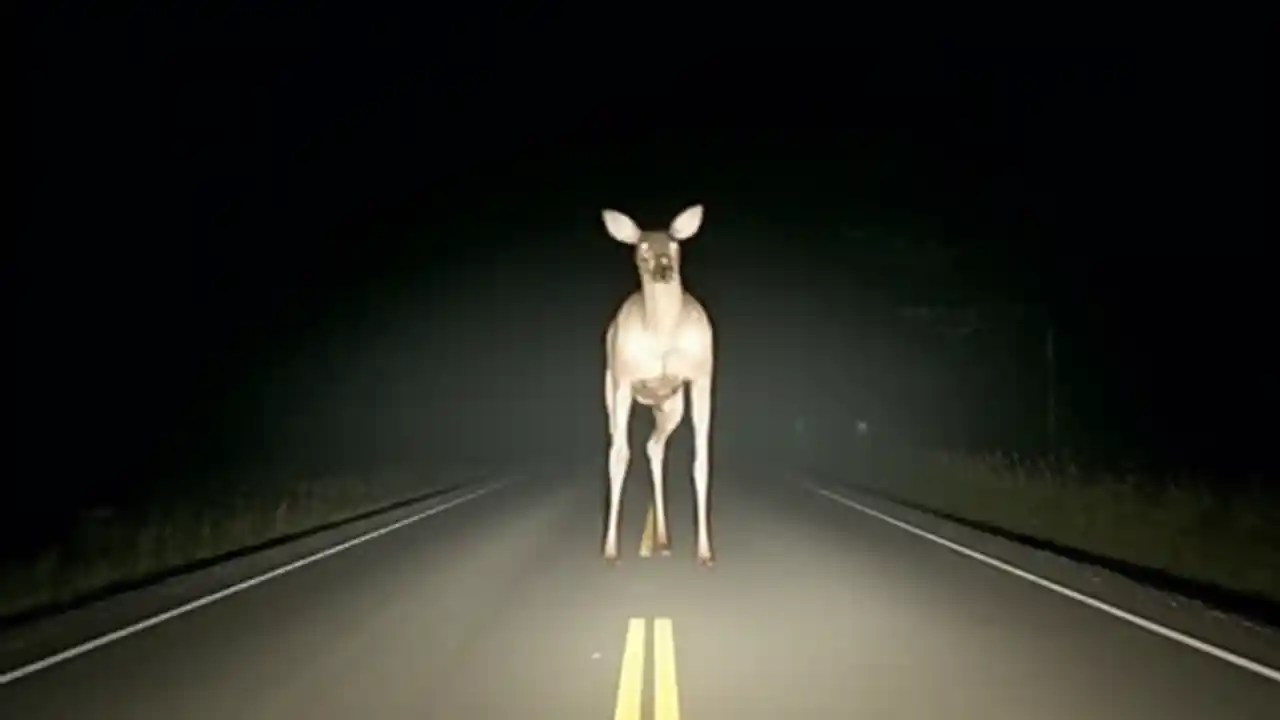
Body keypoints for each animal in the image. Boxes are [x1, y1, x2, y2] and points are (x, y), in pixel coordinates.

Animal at [600, 203, 716, 566]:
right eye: (641, 249)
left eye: (676, 244)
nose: (664, 270)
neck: (662, 332)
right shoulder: (624, 380)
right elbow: (619, 456)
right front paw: (610, 549)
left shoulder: (702, 376)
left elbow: (701, 460)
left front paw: (705, 552)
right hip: (610, 392)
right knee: (628, 445)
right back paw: (655, 541)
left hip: (672, 406)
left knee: (654, 445)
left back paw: (662, 541)